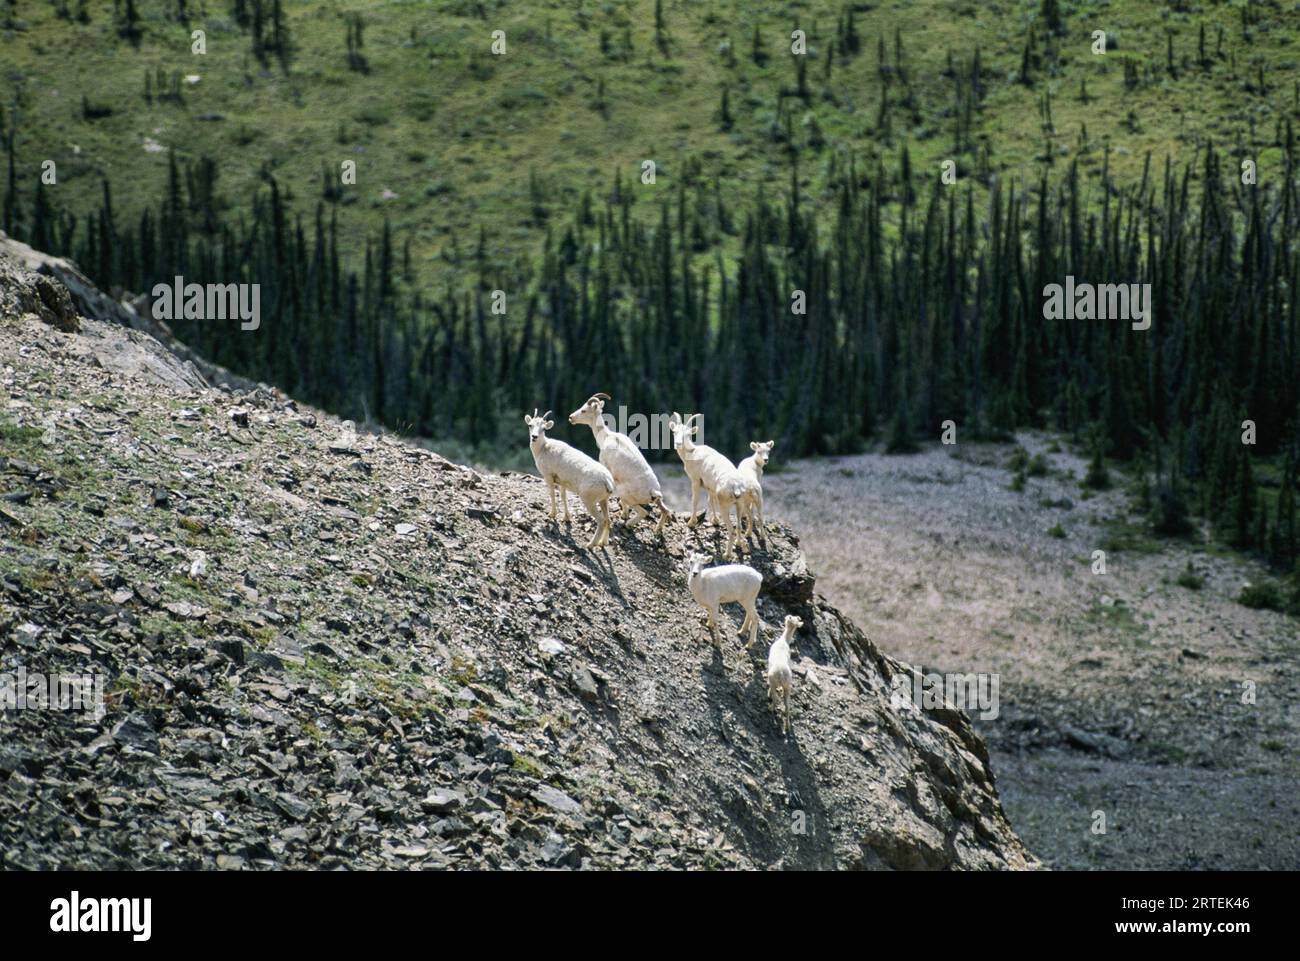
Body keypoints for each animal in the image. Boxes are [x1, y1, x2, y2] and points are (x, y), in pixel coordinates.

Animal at [524, 409, 614, 549]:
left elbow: (552, 494)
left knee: (601, 520)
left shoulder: (548, 477)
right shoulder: (562, 482)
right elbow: (563, 496)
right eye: (530, 425)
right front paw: (566, 518)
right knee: (608, 519)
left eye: (543, 428)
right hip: (604, 500)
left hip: (589, 501)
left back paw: (590, 545)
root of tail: (607, 481)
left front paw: (552, 514)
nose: (534, 437)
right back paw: (602, 543)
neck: (543, 449)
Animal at [568, 392, 671, 535]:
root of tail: (653, 490)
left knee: (643, 512)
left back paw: (628, 524)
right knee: (665, 510)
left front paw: (624, 516)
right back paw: (657, 530)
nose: (571, 417)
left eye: (583, 410)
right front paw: (624, 515)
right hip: (657, 500)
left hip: (627, 495)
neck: (606, 437)